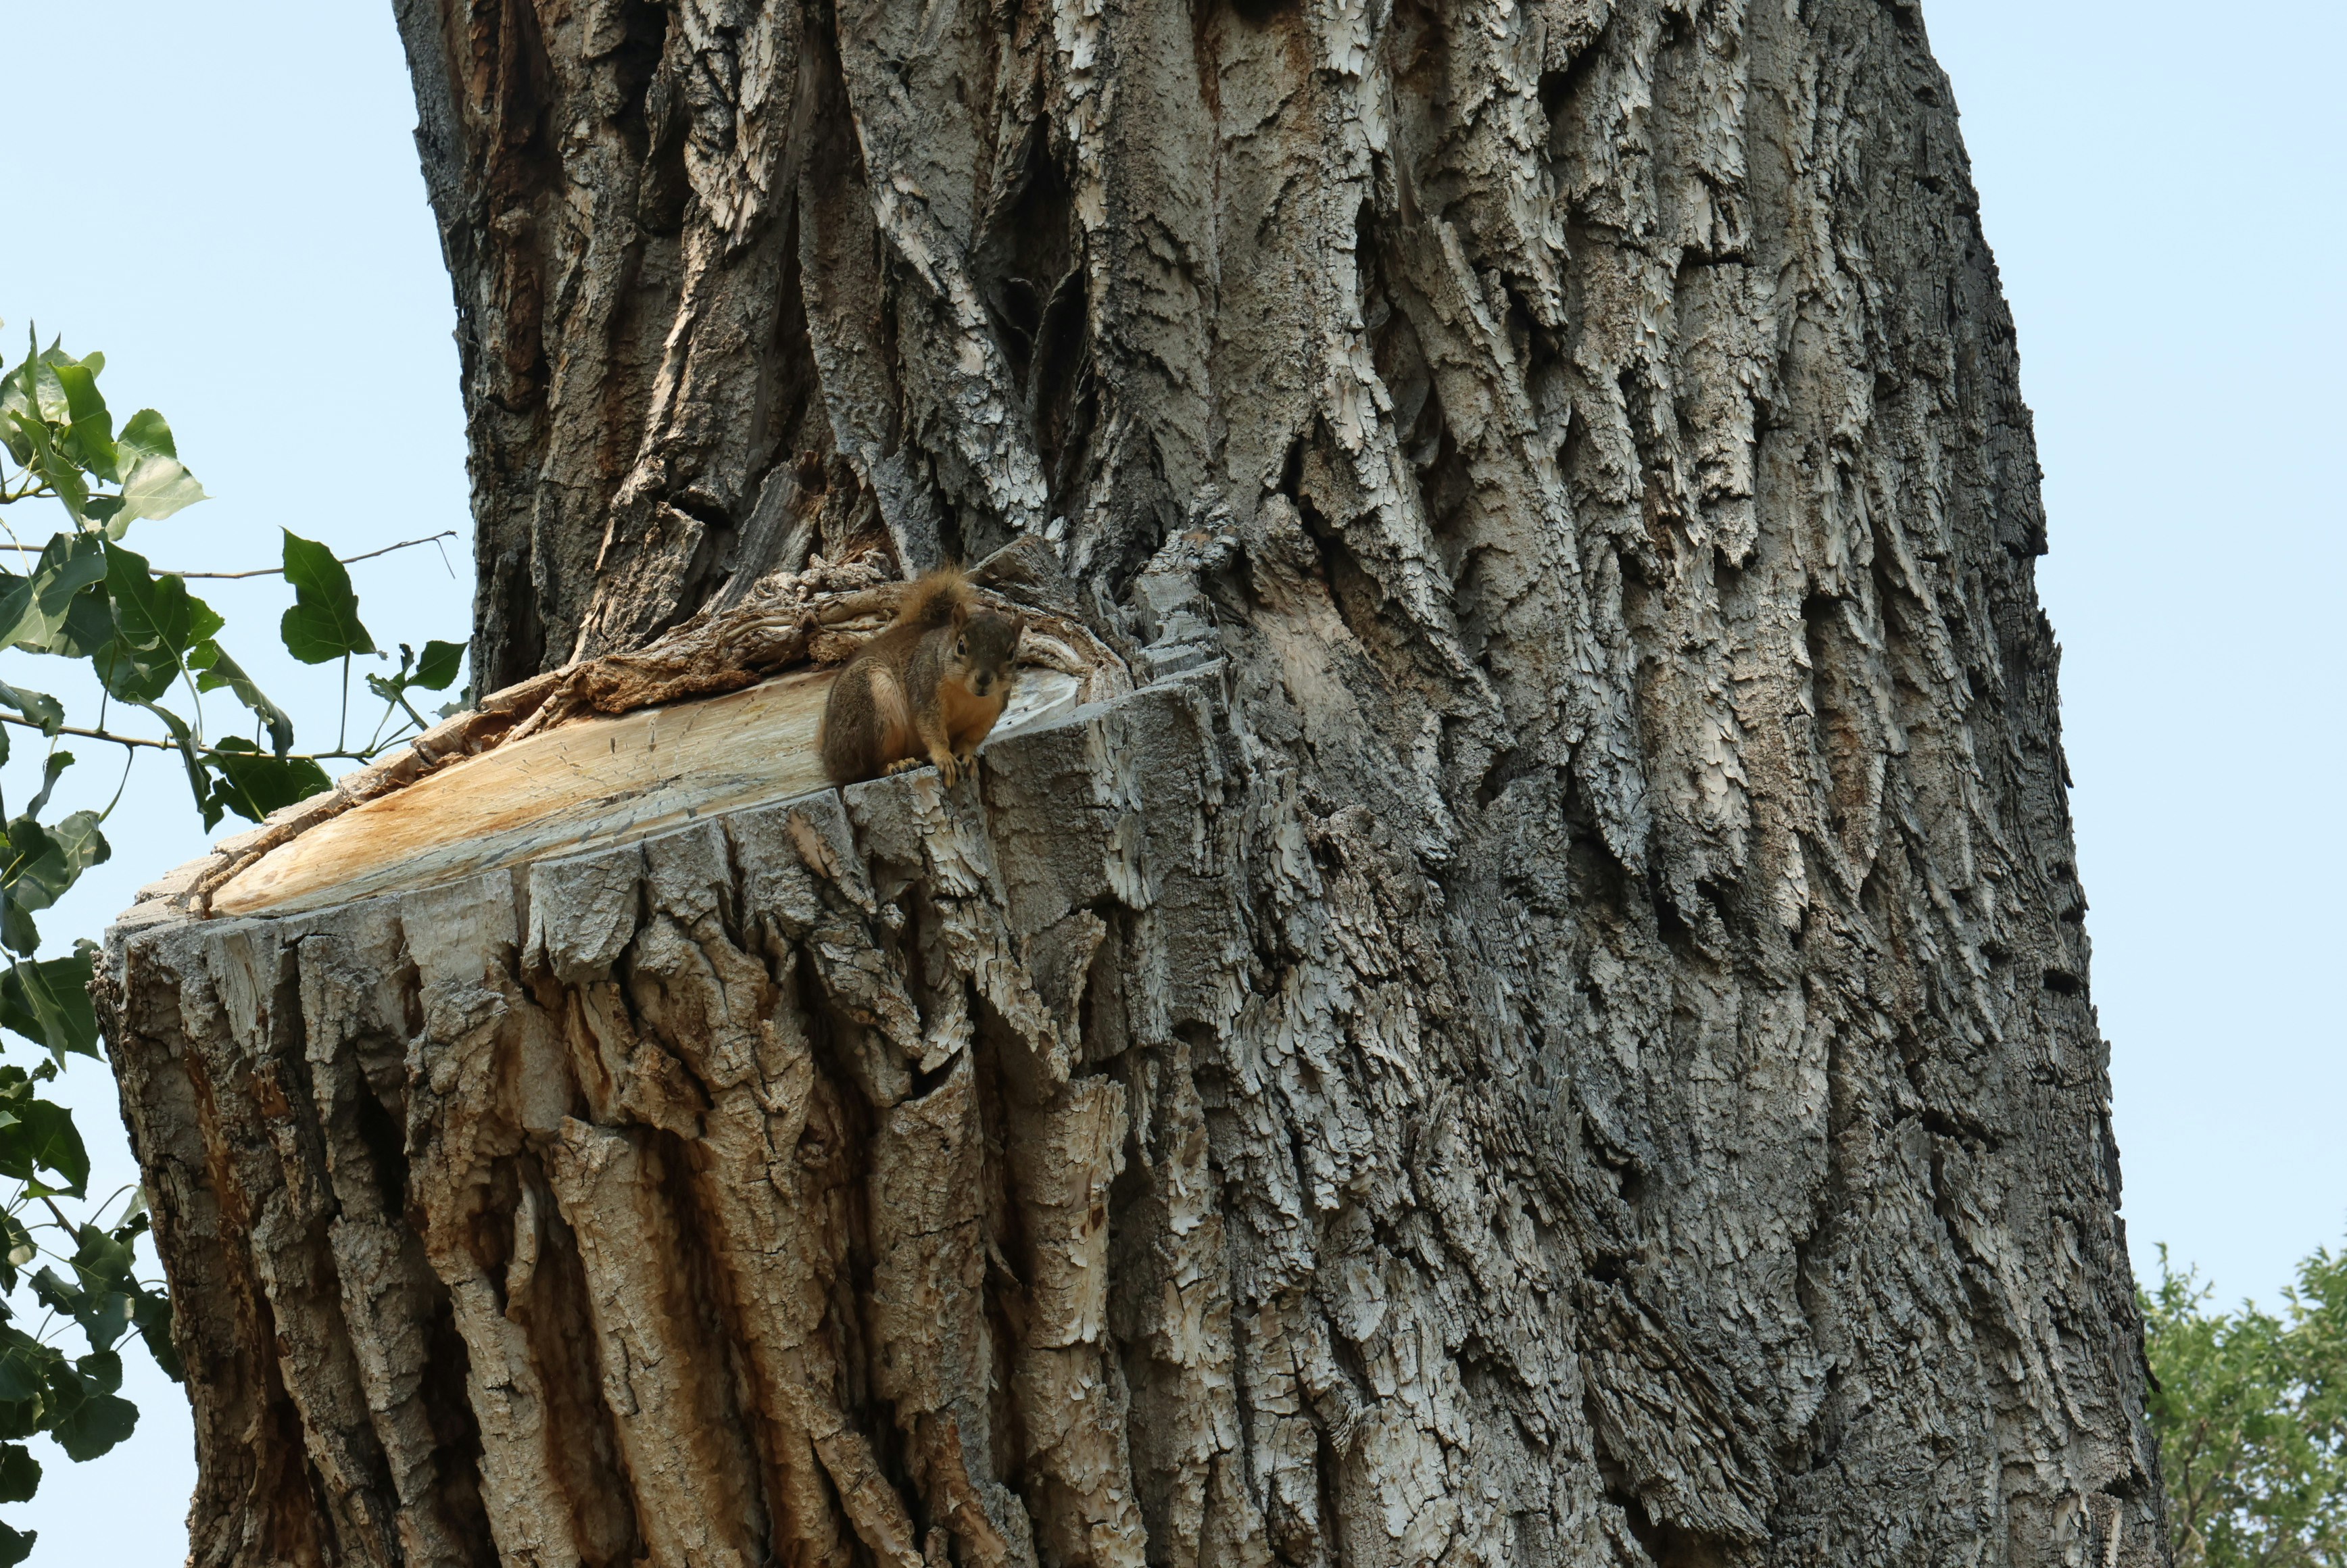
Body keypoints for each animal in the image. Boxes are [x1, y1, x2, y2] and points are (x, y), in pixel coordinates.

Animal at [819, 567, 1026, 788]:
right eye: (961, 646)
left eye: (1011, 654)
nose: (984, 679)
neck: (967, 694)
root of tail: (830, 755)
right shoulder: (925, 693)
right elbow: (932, 730)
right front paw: (944, 758)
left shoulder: (991, 712)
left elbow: (971, 739)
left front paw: (967, 756)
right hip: (869, 702)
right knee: (873, 765)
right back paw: (897, 764)